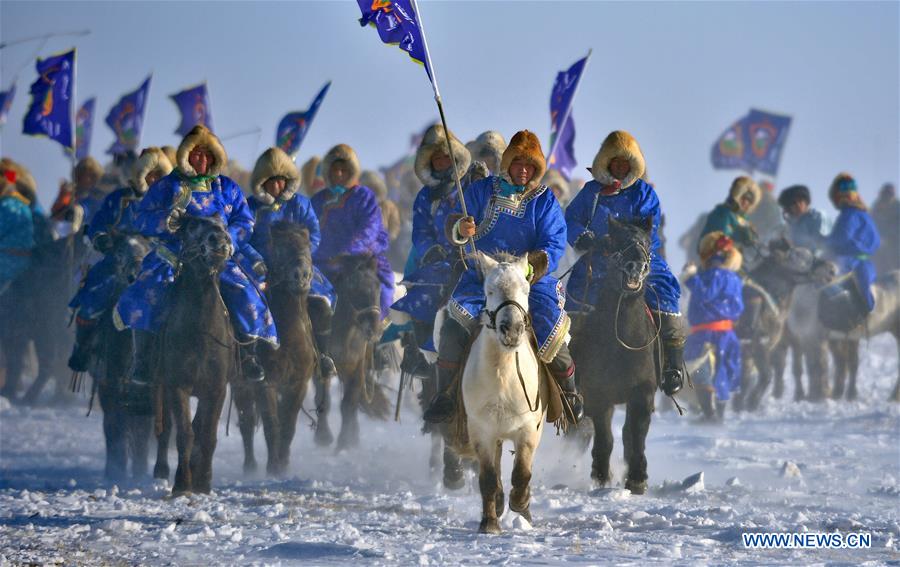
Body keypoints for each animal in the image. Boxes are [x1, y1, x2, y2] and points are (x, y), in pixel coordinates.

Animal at [159, 216, 236, 494]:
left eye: (223, 224)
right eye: (191, 226)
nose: (219, 240)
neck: (202, 334)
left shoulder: (216, 388)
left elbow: (207, 435)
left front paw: (204, 482)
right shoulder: (176, 385)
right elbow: (185, 433)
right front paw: (183, 483)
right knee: (166, 429)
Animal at [233, 223, 317, 476]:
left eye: (307, 246)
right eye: (280, 248)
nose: (301, 274)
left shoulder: (297, 384)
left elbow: (288, 424)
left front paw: (284, 464)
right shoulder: (266, 383)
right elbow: (271, 423)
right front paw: (273, 466)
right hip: (241, 385)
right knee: (247, 421)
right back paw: (250, 466)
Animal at [315, 254, 391, 451]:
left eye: (378, 286)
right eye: (352, 286)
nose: (373, 328)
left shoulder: (356, 366)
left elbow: (349, 404)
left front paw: (345, 443)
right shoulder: (321, 365)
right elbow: (323, 399)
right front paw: (323, 437)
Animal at [442, 251, 549, 535]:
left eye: (526, 290)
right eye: (489, 291)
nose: (511, 329)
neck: (503, 375)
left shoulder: (528, 430)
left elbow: (522, 473)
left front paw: (521, 505)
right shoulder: (482, 431)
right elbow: (489, 478)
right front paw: (489, 522)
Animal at [569, 217, 658, 495]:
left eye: (647, 242)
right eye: (616, 241)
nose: (636, 266)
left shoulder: (643, 391)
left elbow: (636, 432)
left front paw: (637, 477)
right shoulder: (599, 395)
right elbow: (605, 437)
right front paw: (601, 475)